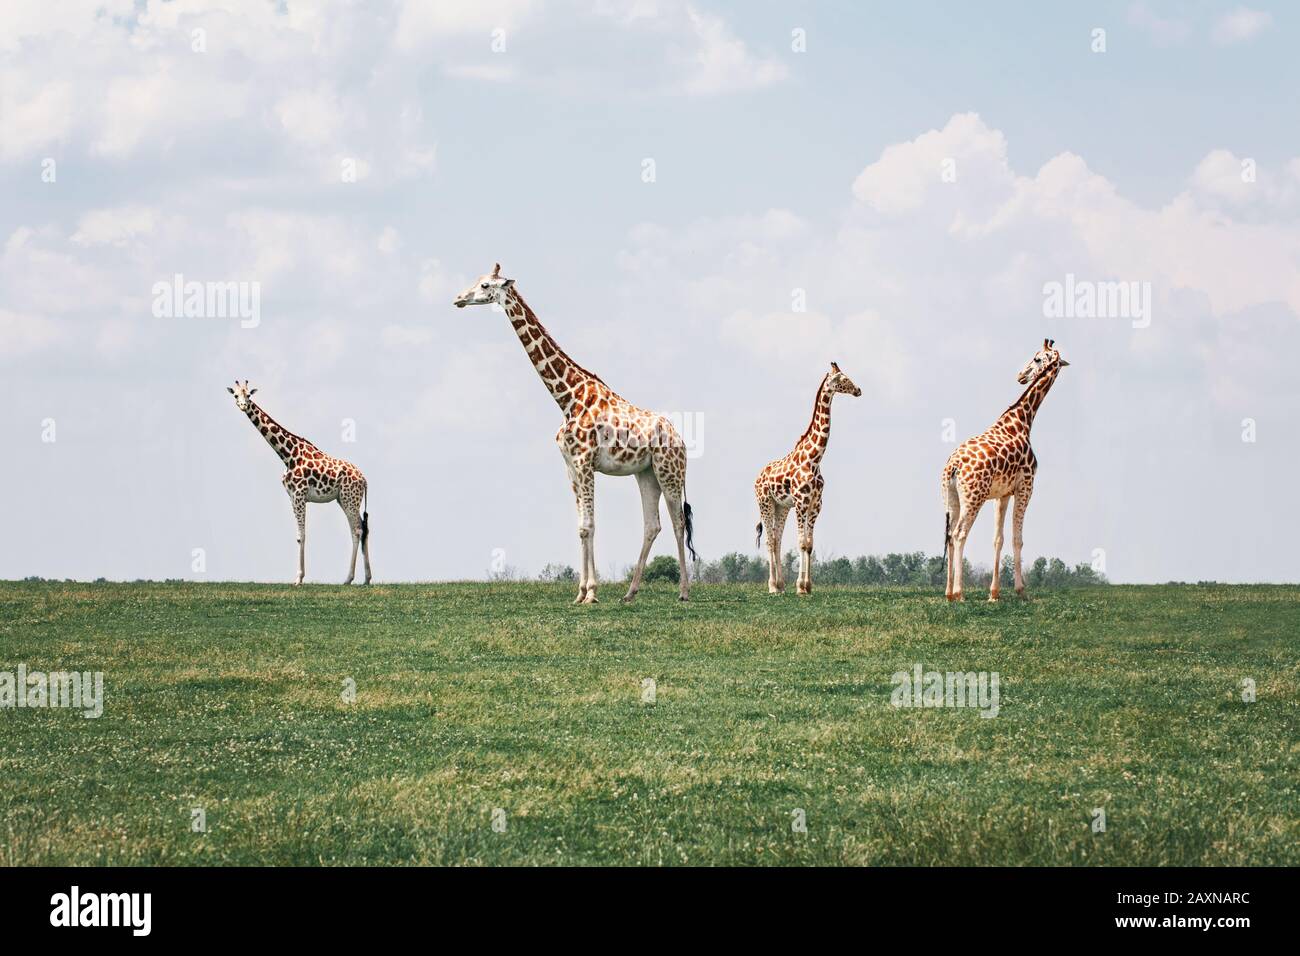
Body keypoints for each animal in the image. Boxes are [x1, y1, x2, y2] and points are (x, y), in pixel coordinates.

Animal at [227, 381, 371, 586]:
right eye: (235, 395)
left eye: (249, 395)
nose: (243, 405)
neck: (287, 455)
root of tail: (364, 480)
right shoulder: (292, 496)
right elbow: (299, 535)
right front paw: (298, 577)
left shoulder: (299, 495)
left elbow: (301, 535)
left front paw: (298, 578)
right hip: (344, 499)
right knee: (363, 528)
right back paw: (366, 578)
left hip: (350, 498)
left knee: (357, 530)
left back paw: (348, 578)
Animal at [453, 264, 697, 604]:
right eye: (477, 281)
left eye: (485, 285)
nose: (459, 299)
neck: (567, 397)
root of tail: (681, 441)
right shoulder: (570, 466)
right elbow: (581, 526)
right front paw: (582, 592)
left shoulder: (584, 462)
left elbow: (589, 525)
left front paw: (591, 592)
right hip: (645, 474)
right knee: (652, 525)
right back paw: (630, 592)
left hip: (669, 471)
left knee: (677, 522)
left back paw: (684, 591)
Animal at [753, 363, 862, 595]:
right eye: (842, 378)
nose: (858, 390)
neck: (814, 458)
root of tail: (757, 477)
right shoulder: (802, 502)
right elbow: (802, 542)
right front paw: (801, 587)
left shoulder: (816, 503)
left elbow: (809, 544)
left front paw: (807, 586)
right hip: (764, 503)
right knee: (769, 540)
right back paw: (772, 586)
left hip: (781, 506)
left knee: (777, 539)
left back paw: (780, 585)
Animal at [941, 340, 1069, 602]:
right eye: (1037, 357)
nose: (1020, 376)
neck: (1022, 421)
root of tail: (953, 467)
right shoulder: (1026, 486)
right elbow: (1017, 539)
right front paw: (1020, 590)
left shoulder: (1002, 494)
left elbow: (997, 539)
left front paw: (994, 593)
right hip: (974, 497)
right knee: (959, 534)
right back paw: (960, 592)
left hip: (951, 497)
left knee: (949, 535)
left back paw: (948, 593)